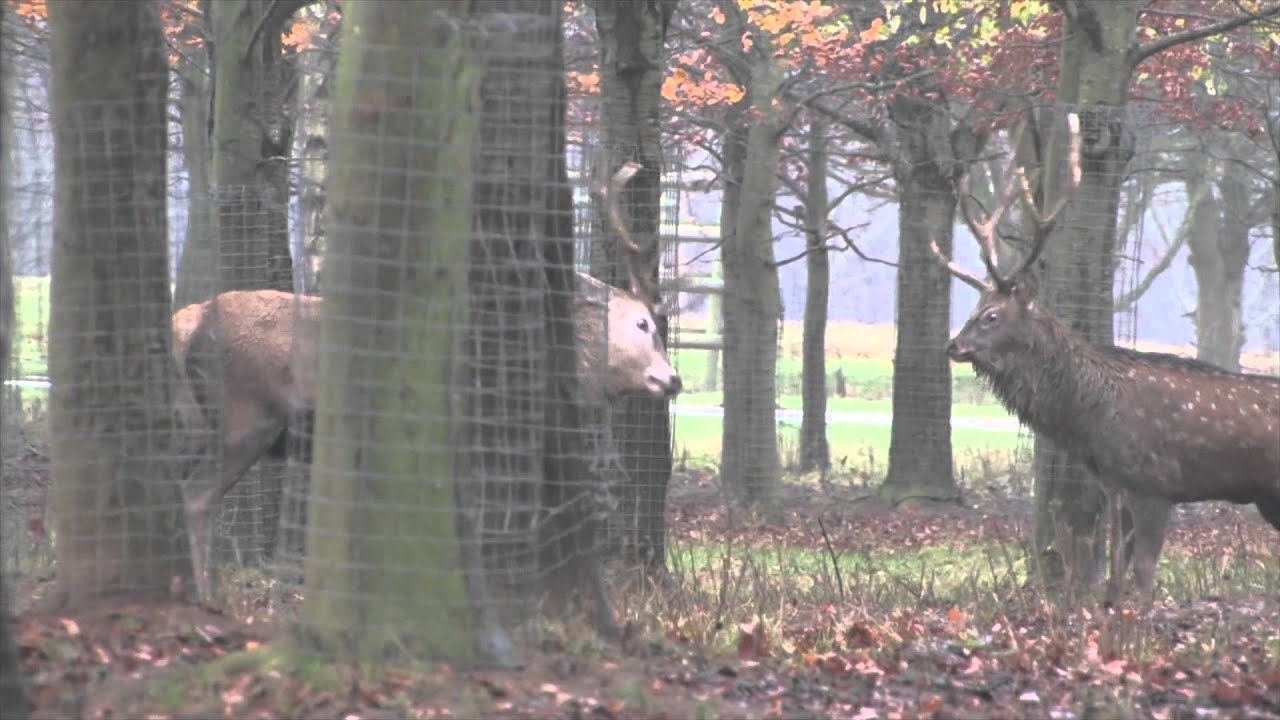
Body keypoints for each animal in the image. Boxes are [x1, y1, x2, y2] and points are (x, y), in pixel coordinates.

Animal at [174, 162, 682, 605]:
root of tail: (185, 325)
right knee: (196, 498)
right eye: (642, 324)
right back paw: (208, 596)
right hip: (246, 418)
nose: (672, 378)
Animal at [933, 113, 1280, 608]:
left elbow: (1144, 575)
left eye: (992, 315)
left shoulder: (1156, 482)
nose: (953, 347)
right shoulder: (1114, 483)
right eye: (973, 310)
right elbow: (1115, 572)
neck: (1092, 421)